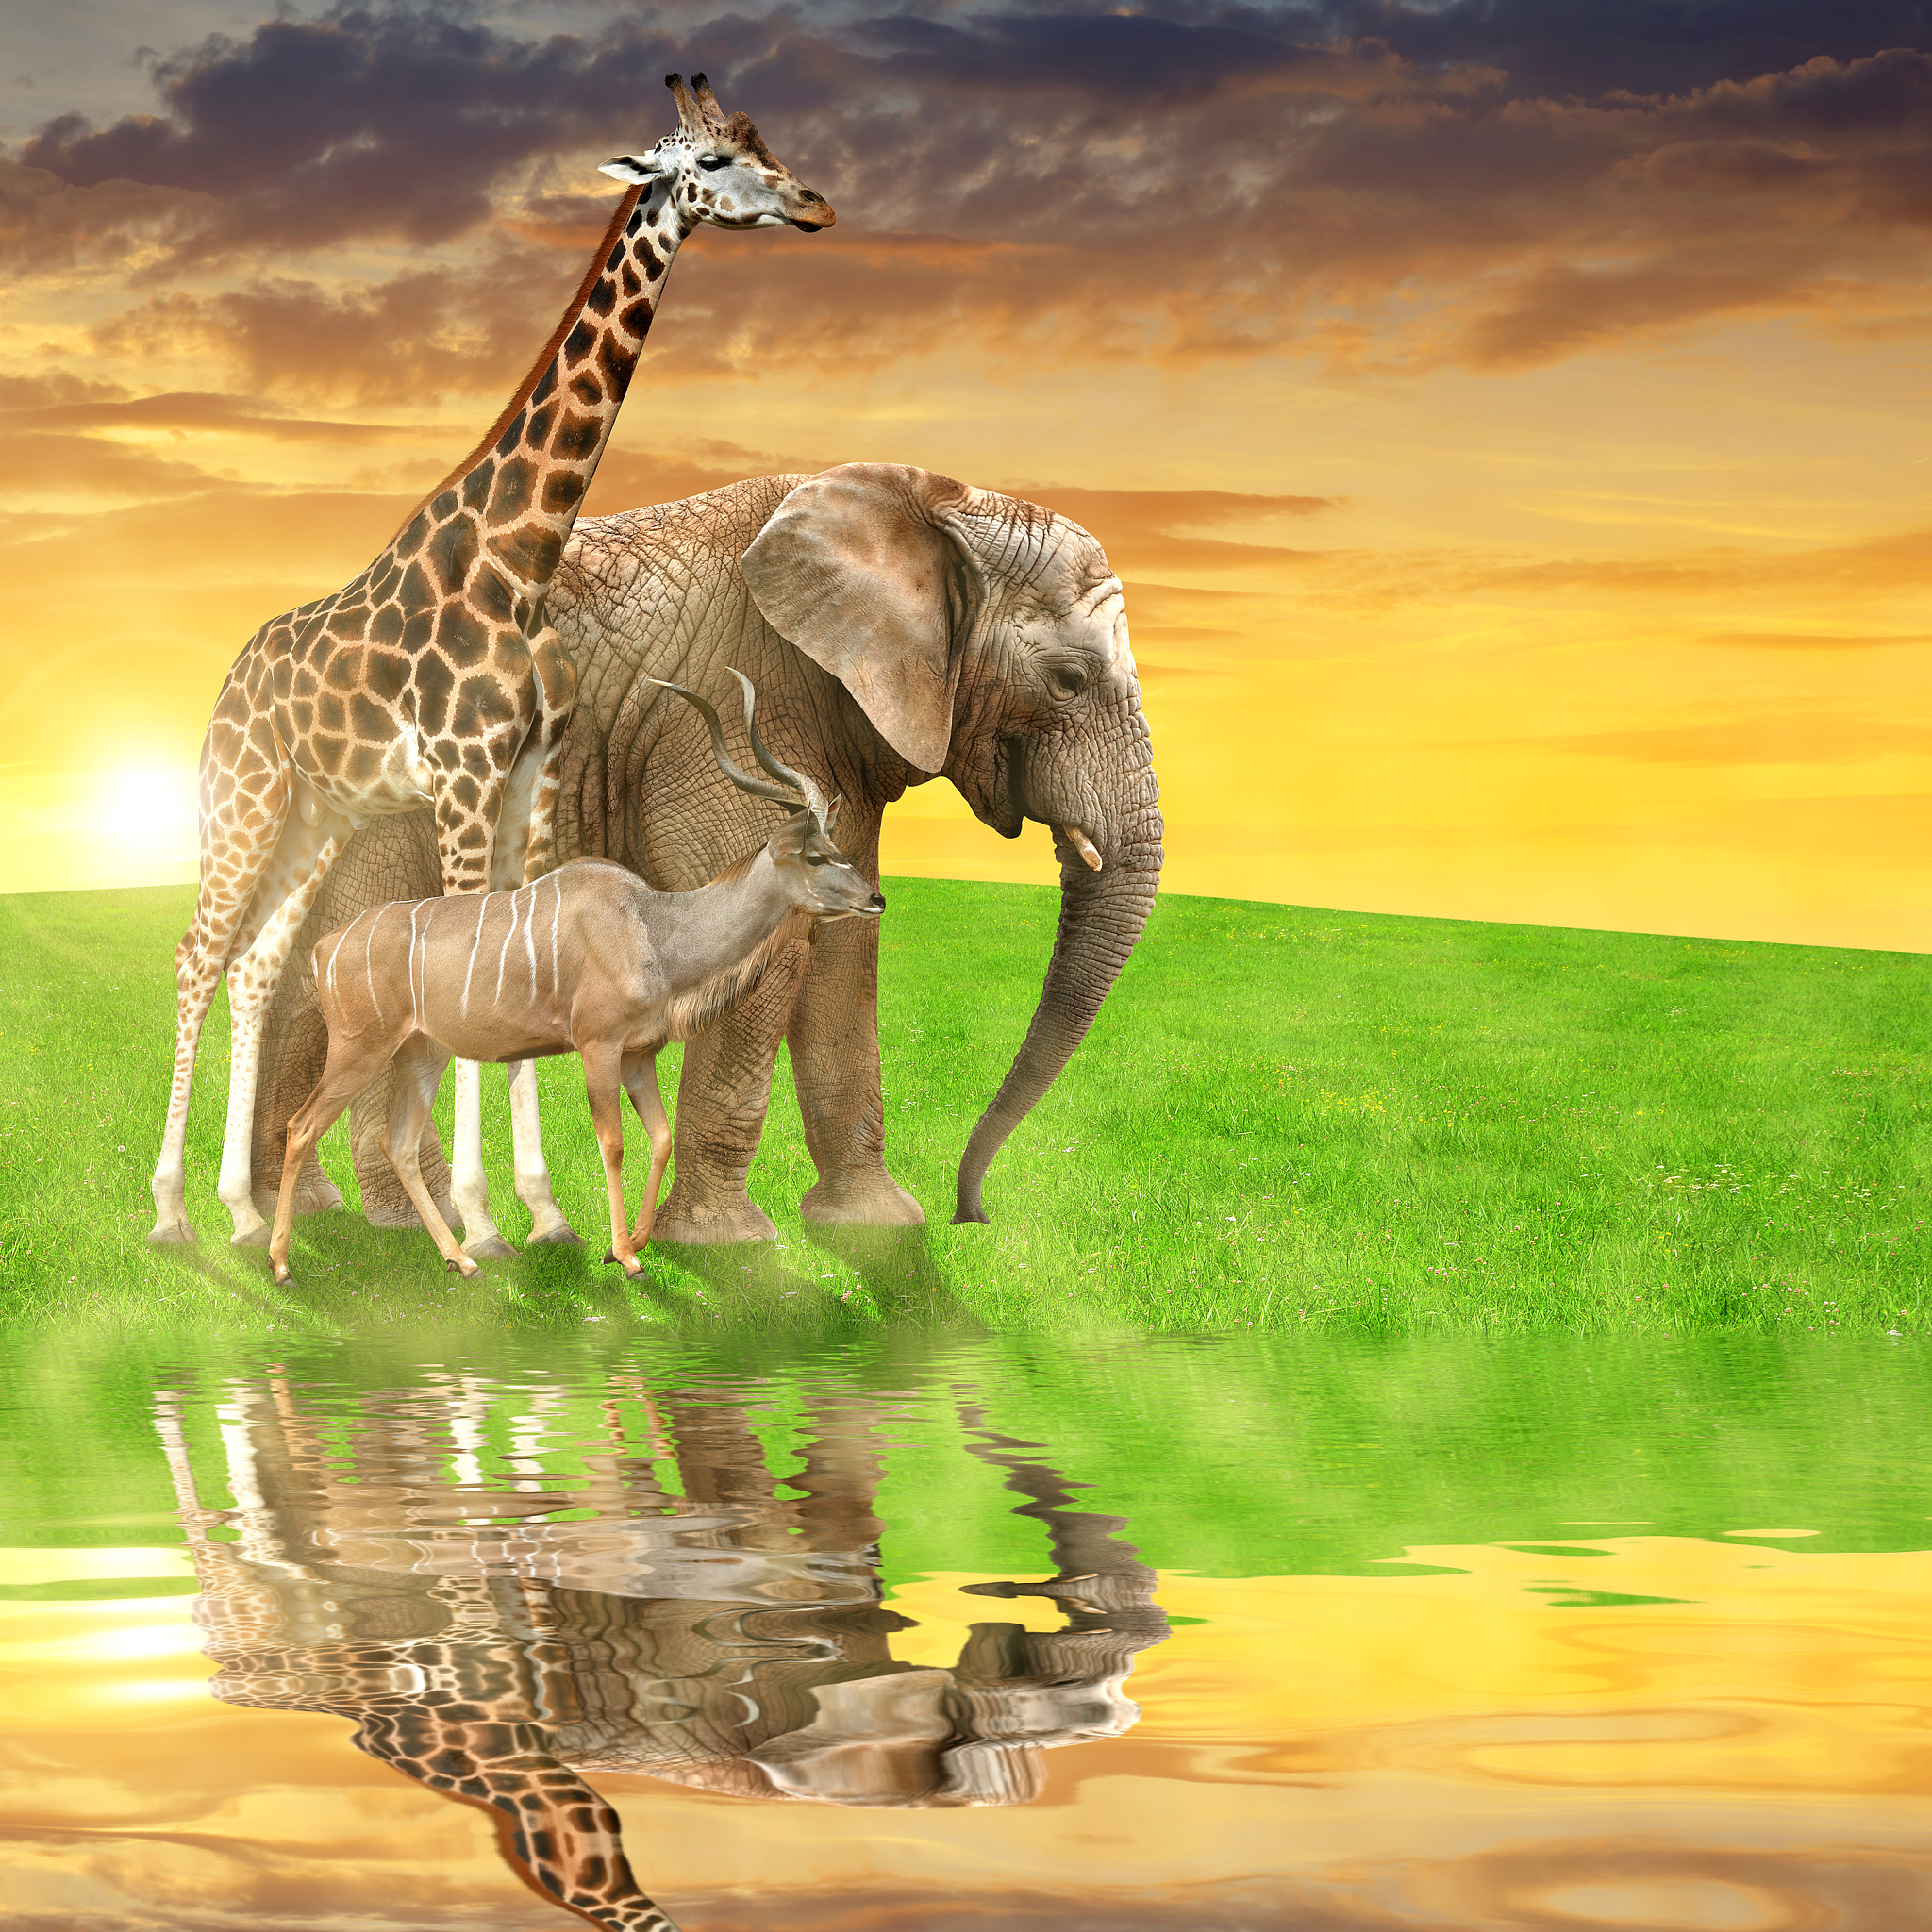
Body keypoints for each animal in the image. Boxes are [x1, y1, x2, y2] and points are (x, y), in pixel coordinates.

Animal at [267, 674, 884, 1287]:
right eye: (814, 856)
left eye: (836, 849)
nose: (876, 899)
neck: (654, 929)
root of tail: (324, 948)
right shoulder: (598, 1046)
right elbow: (612, 1143)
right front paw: (626, 1256)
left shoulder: (639, 1054)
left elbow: (660, 1138)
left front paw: (632, 1243)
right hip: (359, 1049)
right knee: (302, 1127)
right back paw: (280, 1264)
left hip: (422, 1052)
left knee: (397, 1142)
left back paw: (462, 1258)